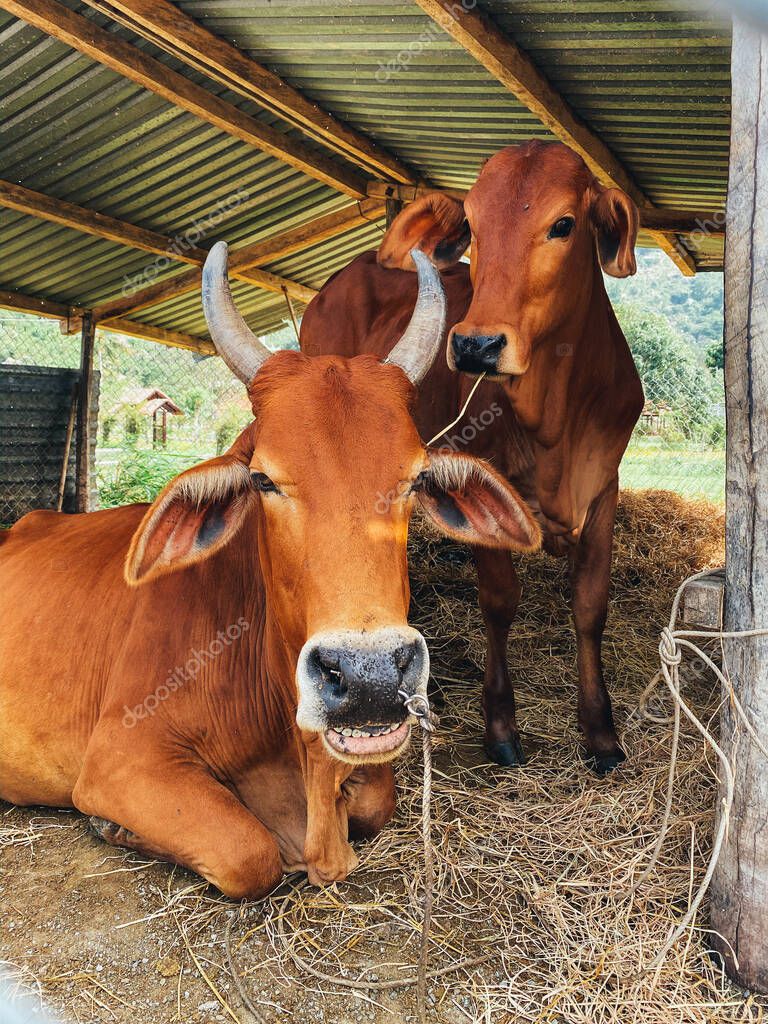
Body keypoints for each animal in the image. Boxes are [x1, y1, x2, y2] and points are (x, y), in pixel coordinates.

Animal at [0, 243, 541, 898]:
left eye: (414, 479)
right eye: (262, 479)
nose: (368, 677)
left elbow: (373, 805)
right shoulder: (121, 760)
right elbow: (248, 852)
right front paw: (114, 828)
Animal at [301, 140, 645, 776]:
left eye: (564, 224)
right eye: (476, 229)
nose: (475, 345)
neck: (553, 415)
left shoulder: (604, 488)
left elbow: (590, 606)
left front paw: (600, 732)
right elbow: (500, 602)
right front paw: (501, 727)